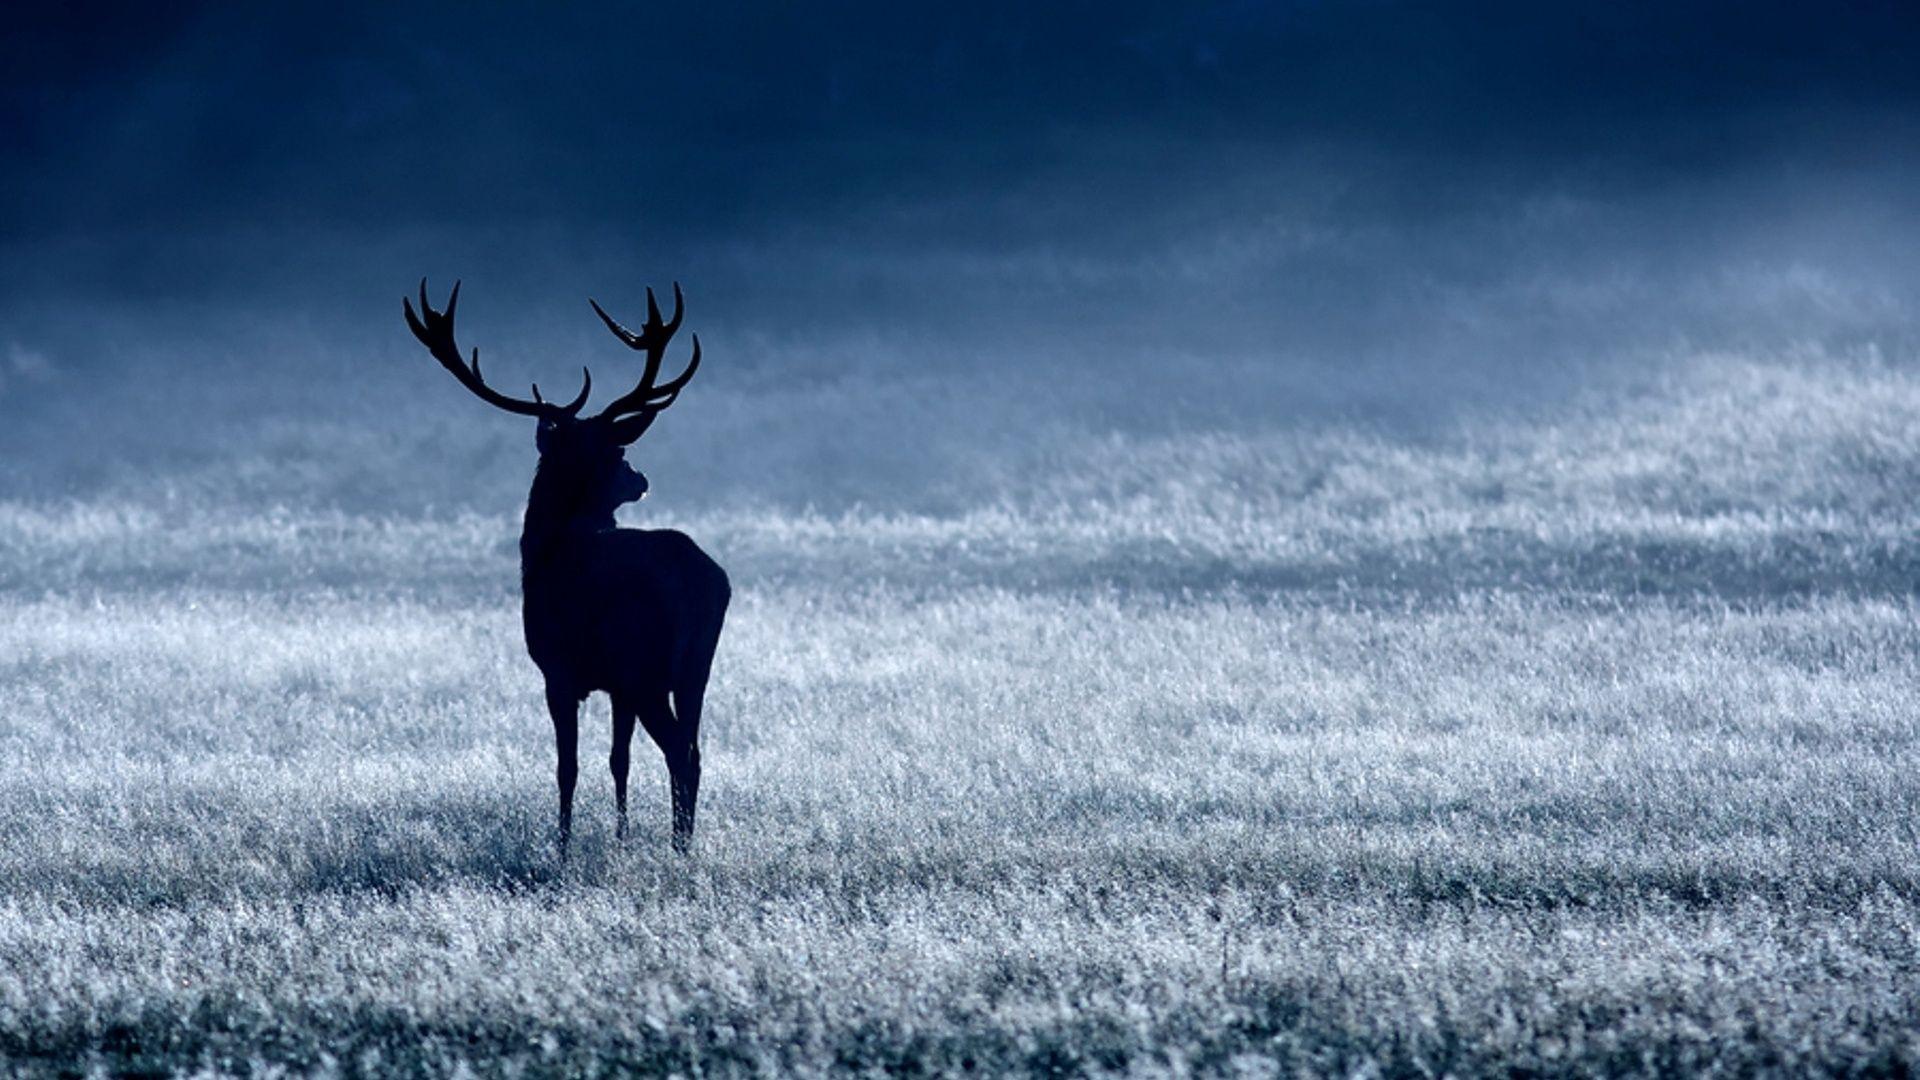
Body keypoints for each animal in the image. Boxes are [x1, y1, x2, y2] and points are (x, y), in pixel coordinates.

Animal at [403, 278, 729, 854]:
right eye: (617, 452)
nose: (640, 478)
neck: (546, 550)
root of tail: (705, 579)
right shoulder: (616, 685)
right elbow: (619, 760)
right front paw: (620, 835)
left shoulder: (558, 670)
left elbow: (567, 767)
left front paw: (561, 845)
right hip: (696, 667)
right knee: (694, 749)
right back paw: (684, 841)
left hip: (646, 666)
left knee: (678, 751)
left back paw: (679, 847)